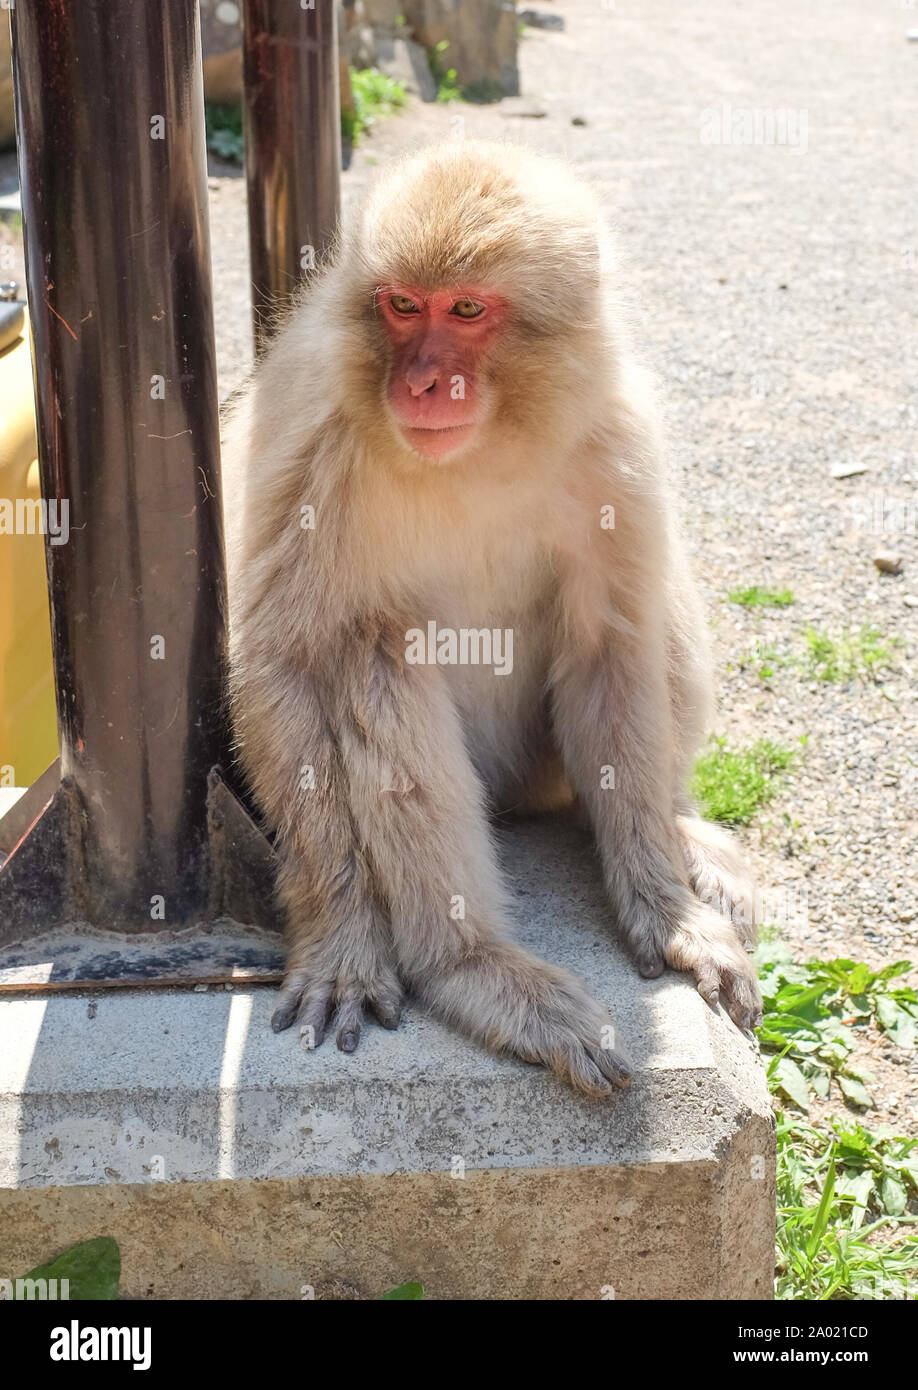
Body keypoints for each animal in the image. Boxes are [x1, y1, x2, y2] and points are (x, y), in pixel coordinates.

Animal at [220, 140, 762, 1098]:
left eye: (467, 309)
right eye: (402, 305)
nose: (421, 380)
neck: (483, 450)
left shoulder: (618, 444)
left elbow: (610, 646)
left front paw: (667, 912)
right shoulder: (310, 442)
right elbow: (287, 661)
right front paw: (341, 943)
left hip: (543, 767)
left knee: (656, 610)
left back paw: (678, 830)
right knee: (376, 647)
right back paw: (471, 968)